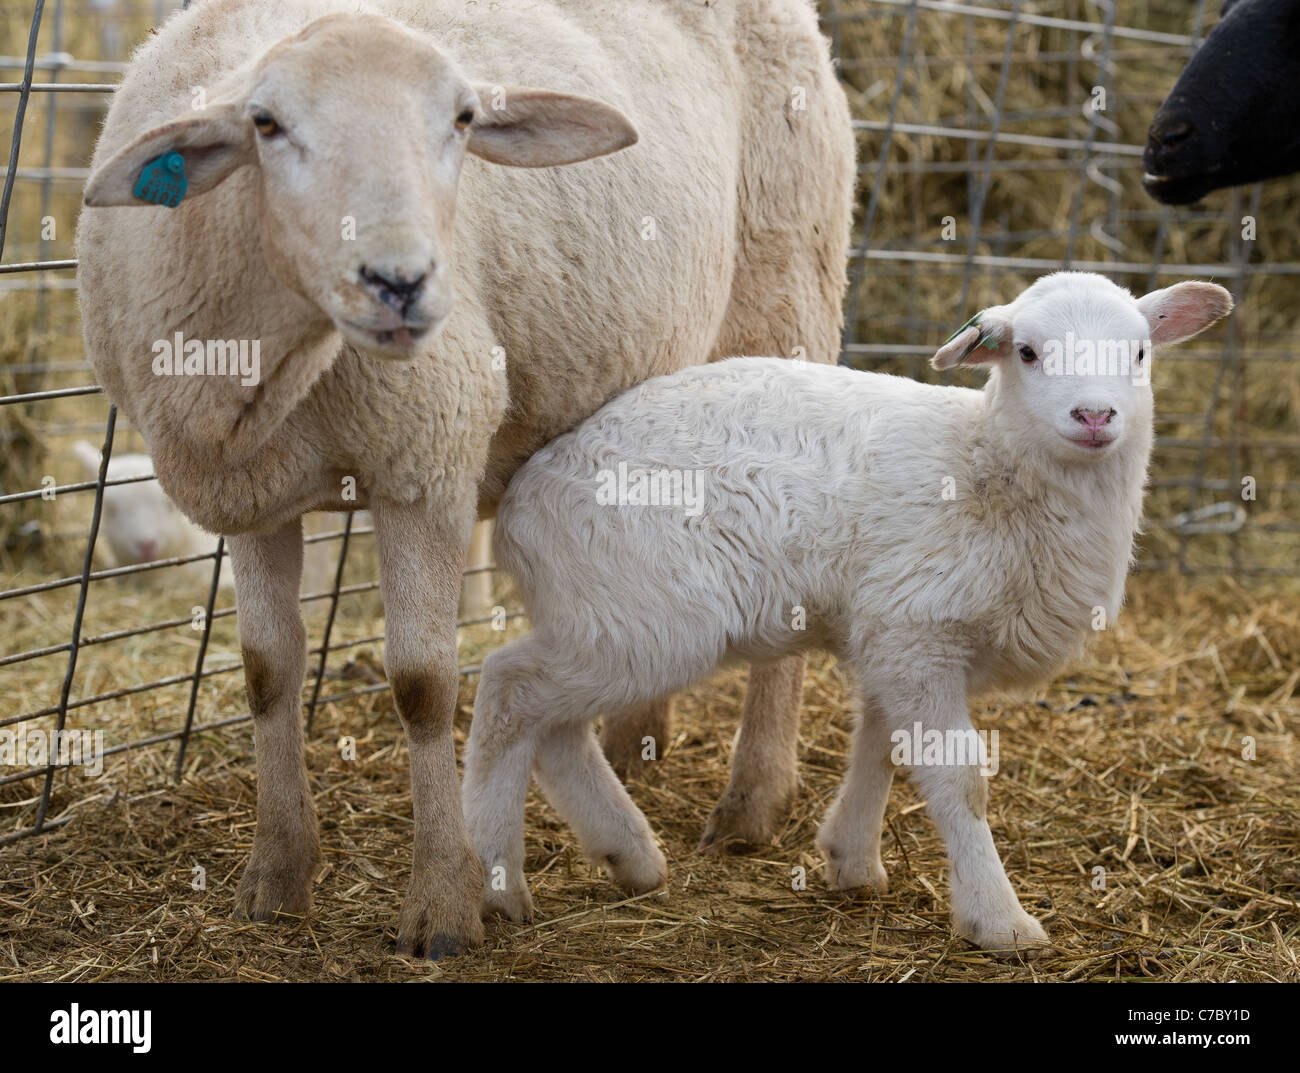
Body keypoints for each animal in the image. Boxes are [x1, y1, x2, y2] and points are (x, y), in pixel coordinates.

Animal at [75, 0, 855, 957]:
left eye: (463, 120)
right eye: (264, 124)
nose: (400, 281)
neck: (266, 363)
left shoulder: (428, 459)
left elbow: (423, 684)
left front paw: (442, 904)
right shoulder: (255, 491)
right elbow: (267, 670)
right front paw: (277, 875)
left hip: (786, 299)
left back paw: (752, 799)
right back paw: (637, 741)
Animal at [463, 271, 1233, 953]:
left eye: (1140, 352)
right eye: (1026, 351)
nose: (1095, 416)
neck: (990, 467)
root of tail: (522, 502)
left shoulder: (891, 634)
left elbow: (883, 743)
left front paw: (853, 860)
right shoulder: (919, 628)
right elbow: (960, 777)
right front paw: (999, 921)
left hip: (603, 619)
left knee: (556, 726)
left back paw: (630, 856)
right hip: (645, 616)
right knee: (509, 689)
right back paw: (498, 883)